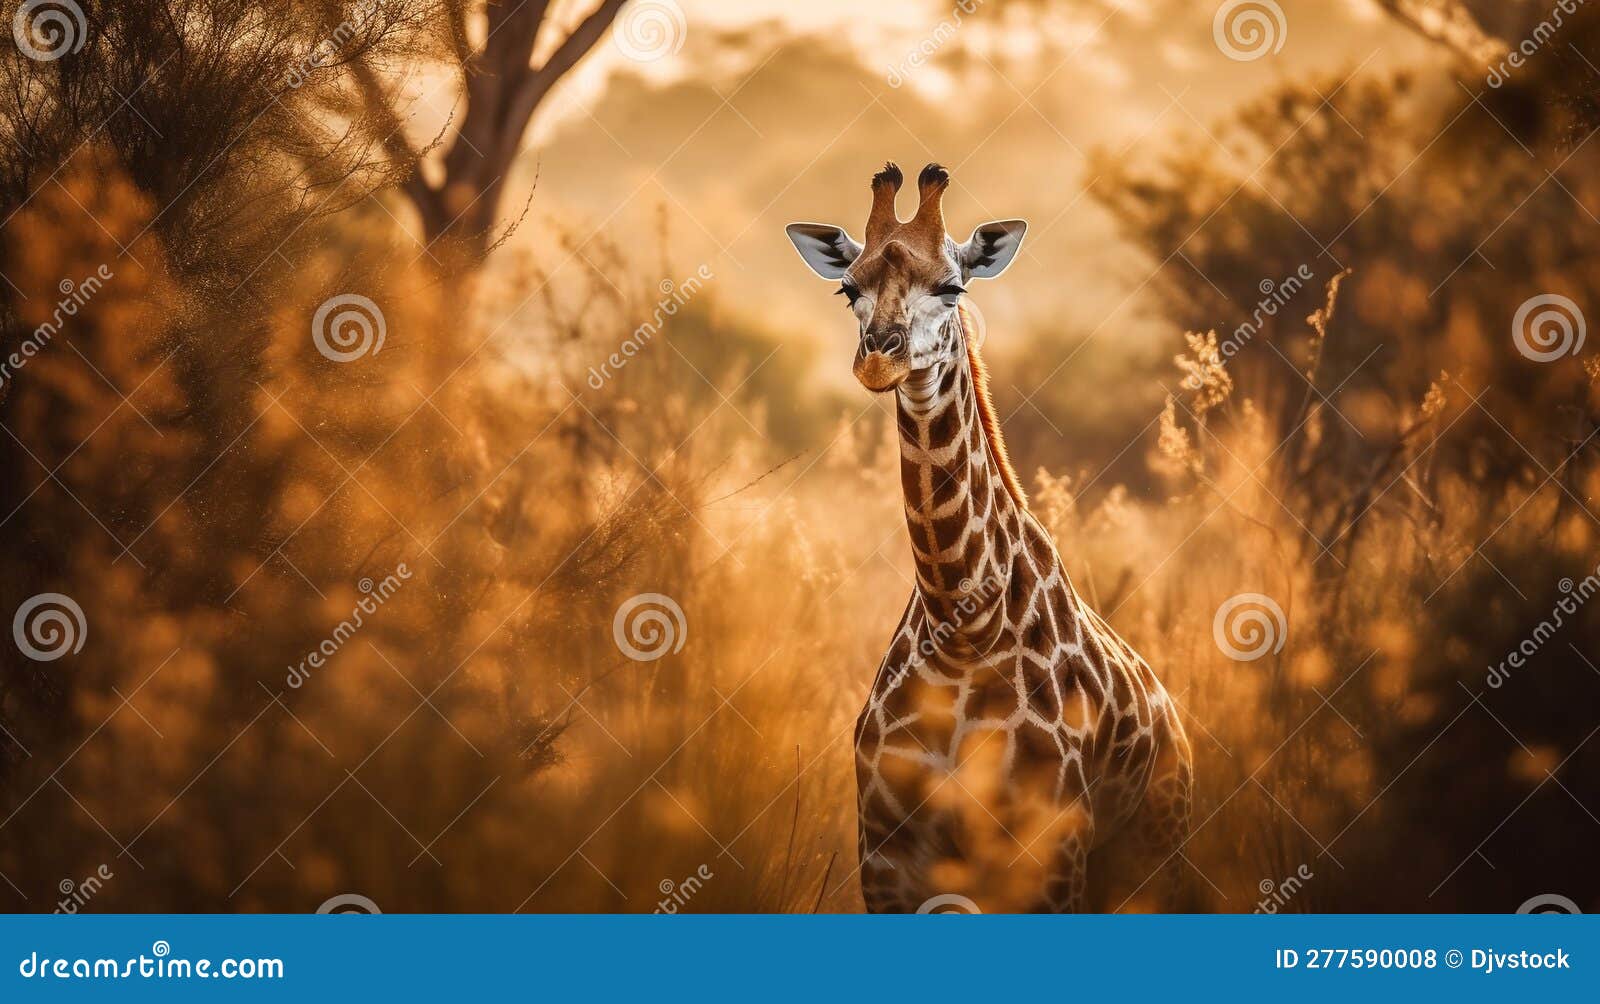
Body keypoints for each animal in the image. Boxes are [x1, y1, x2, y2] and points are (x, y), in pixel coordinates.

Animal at [785, 163, 1193, 913]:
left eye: (953, 286)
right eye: (847, 287)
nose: (878, 360)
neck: (964, 626)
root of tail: (1177, 725)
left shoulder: (1048, 854)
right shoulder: (885, 855)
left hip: (1154, 860)